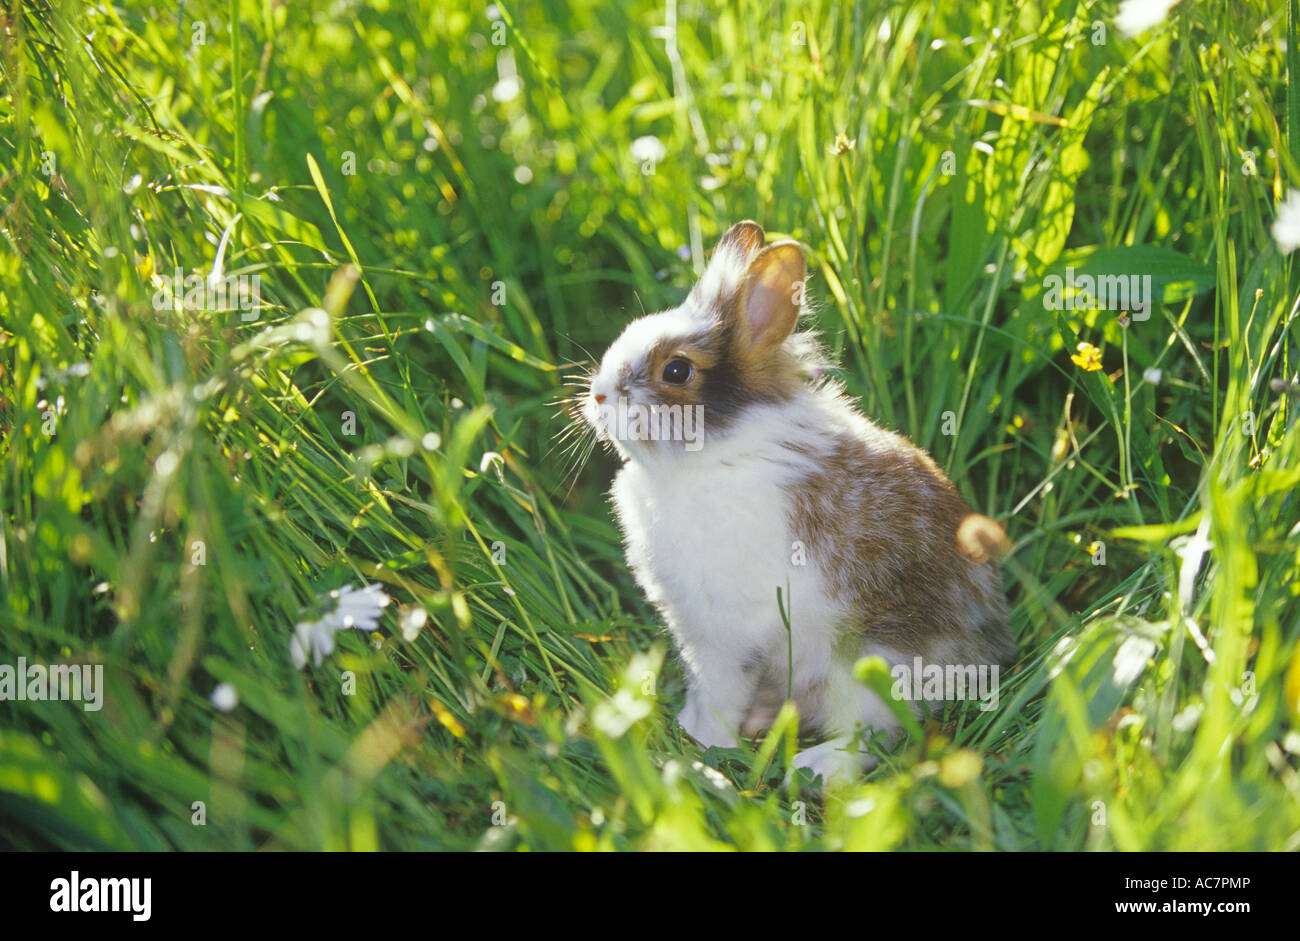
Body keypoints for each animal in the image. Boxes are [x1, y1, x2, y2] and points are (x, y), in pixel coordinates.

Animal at [578, 220, 1015, 782]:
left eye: (676, 371)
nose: (598, 396)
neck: (719, 456)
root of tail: (984, 656)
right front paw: (688, 732)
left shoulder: (724, 635)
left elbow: (719, 690)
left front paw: (703, 742)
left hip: (870, 662)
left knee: (876, 733)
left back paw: (811, 768)